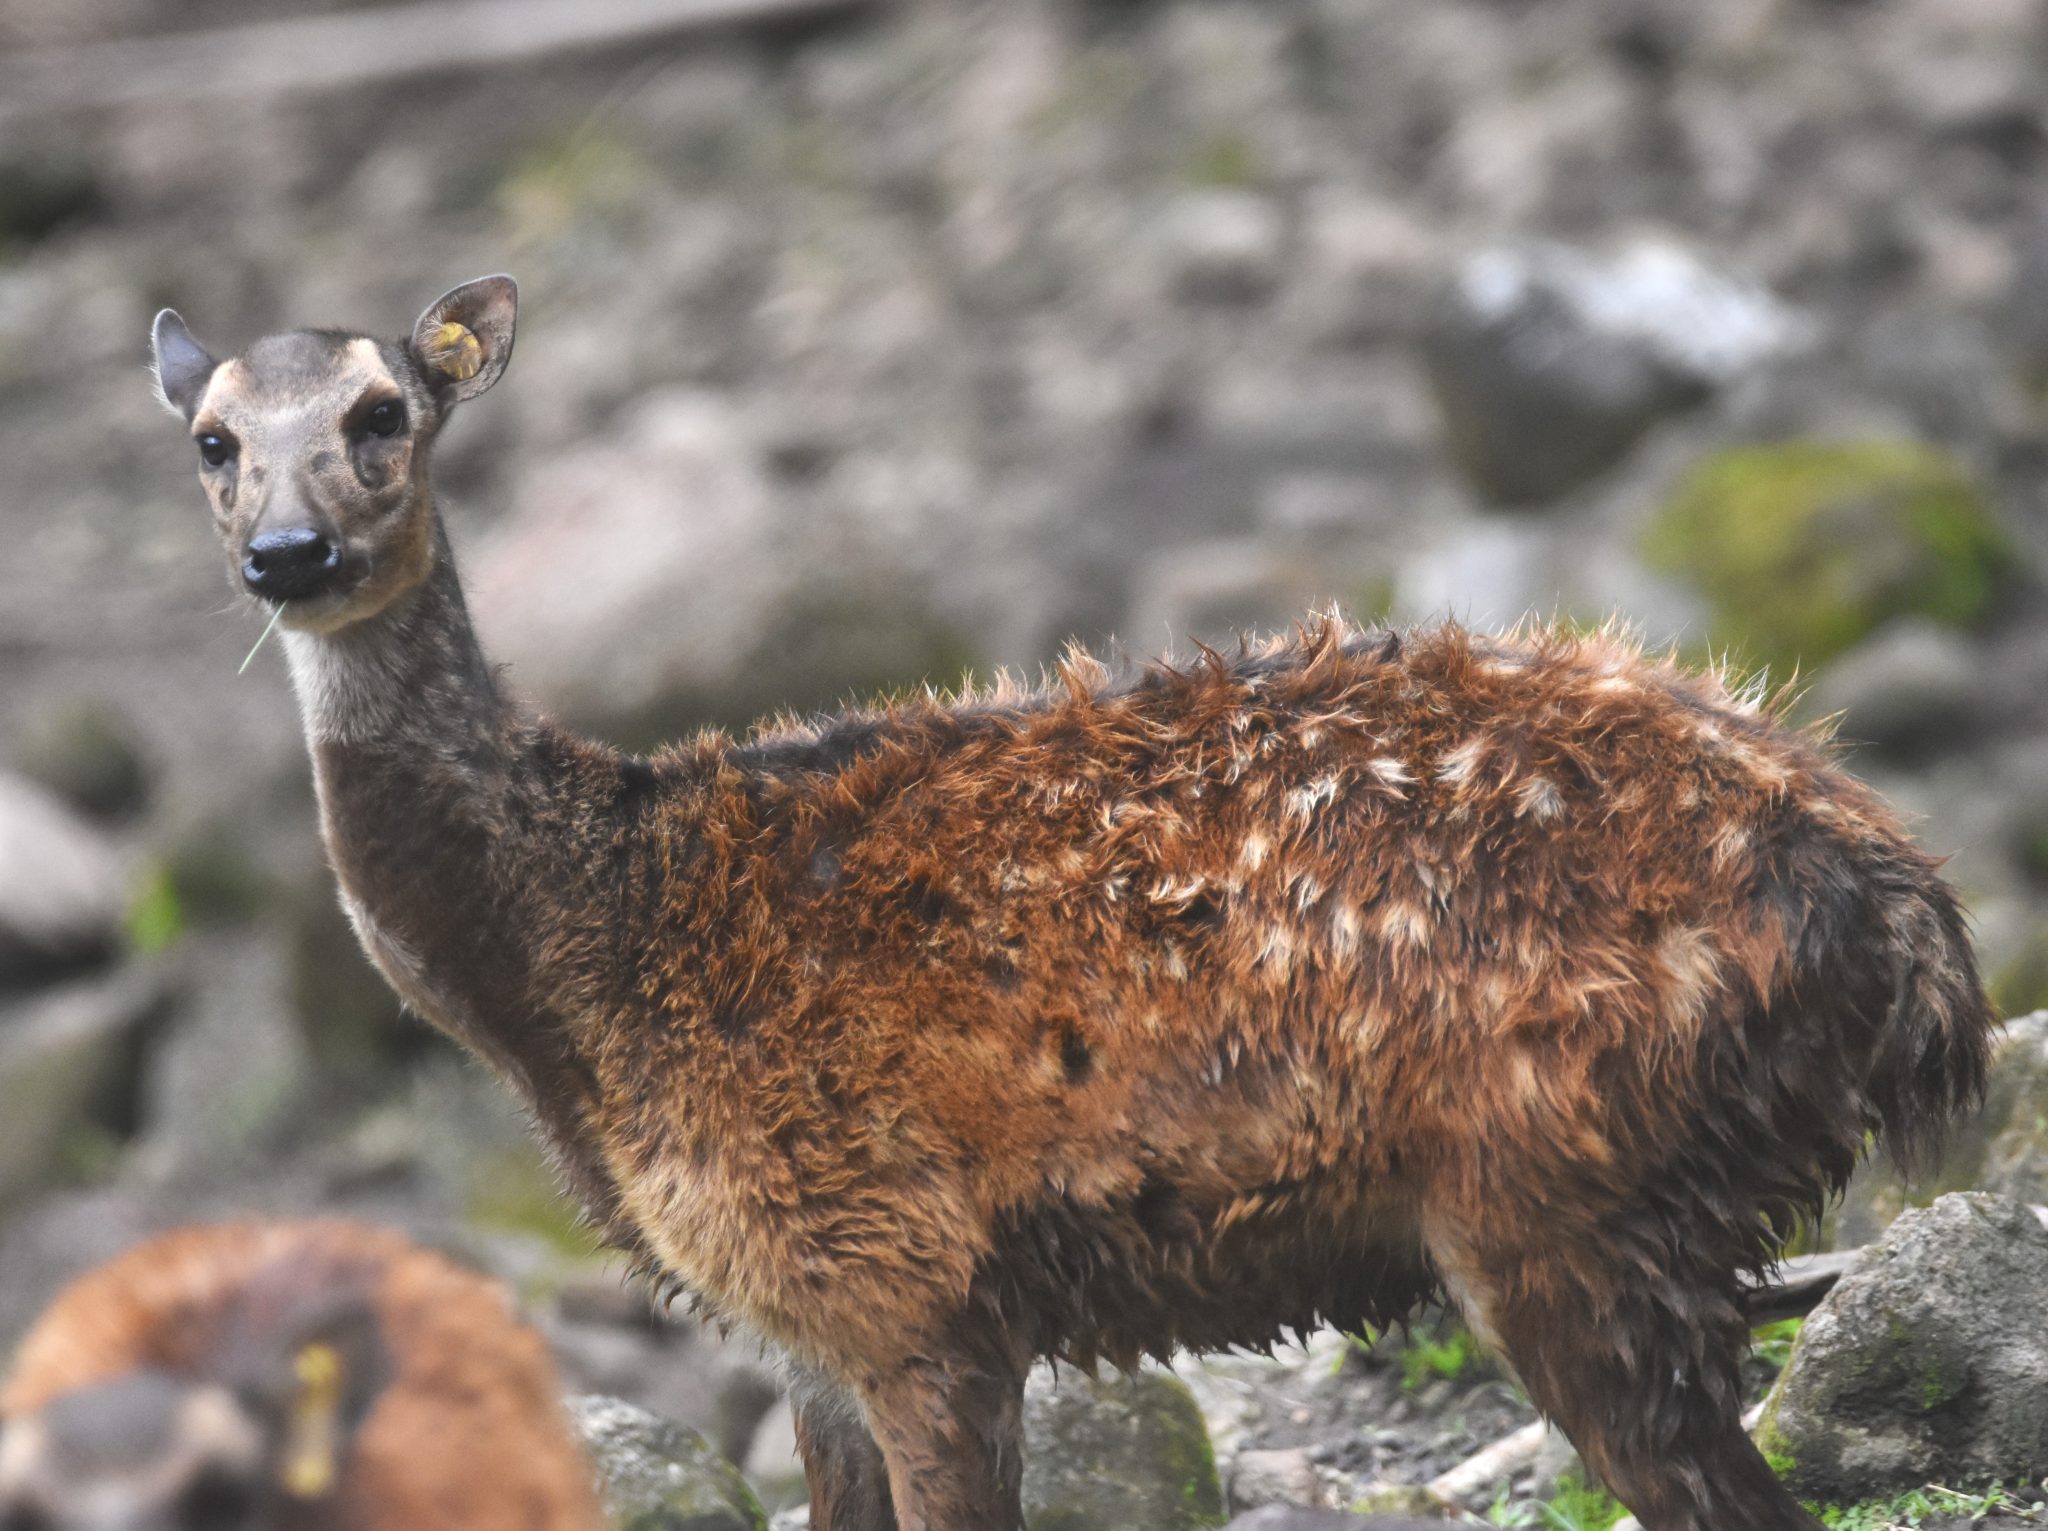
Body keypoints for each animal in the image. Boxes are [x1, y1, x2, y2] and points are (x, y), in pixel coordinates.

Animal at [145, 275, 1995, 1531]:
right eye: (212, 440)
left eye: (384, 413)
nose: (288, 556)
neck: (577, 972)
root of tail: (1921, 942)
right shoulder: (803, 1325)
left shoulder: (903, 1273)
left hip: (1564, 1184)